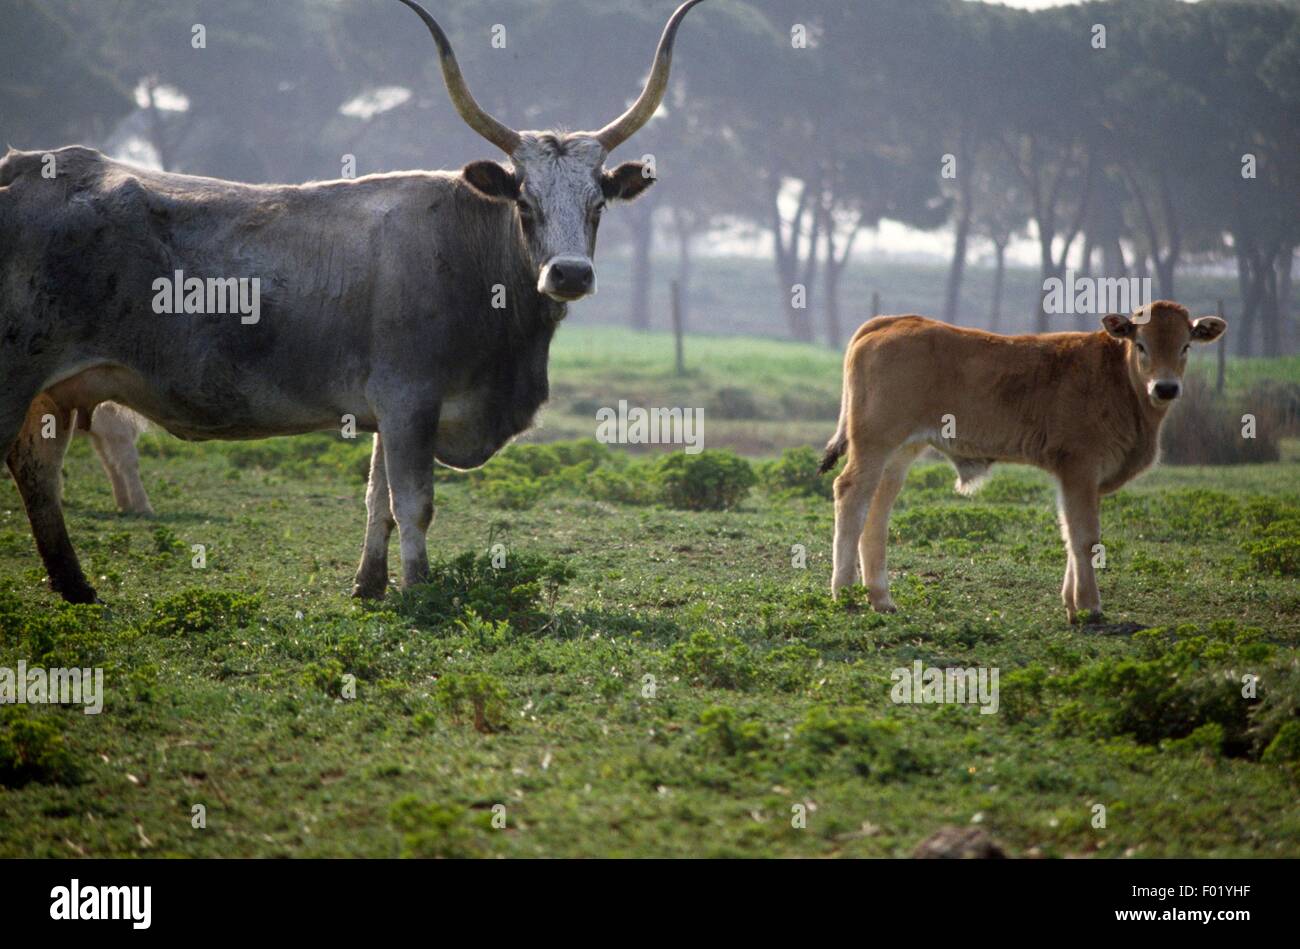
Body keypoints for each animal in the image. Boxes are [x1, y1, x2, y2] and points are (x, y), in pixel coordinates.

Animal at [0, 0, 708, 604]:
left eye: (597, 206)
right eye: (526, 204)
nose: (568, 274)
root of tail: (30, 164)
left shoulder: (391, 408)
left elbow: (377, 499)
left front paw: (368, 585)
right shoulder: (408, 398)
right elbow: (413, 502)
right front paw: (420, 592)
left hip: (56, 394)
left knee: (38, 471)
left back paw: (74, 585)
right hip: (18, 377)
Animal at [817, 301, 1227, 622]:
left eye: (1186, 346)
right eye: (1141, 345)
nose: (1166, 387)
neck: (1118, 381)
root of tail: (892, 321)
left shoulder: (1078, 478)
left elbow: (1070, 534)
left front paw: (1072, 604)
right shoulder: (1080, 468)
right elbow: (1085, 537)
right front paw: (1090, 606)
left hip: (901, 452)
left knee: (876, 511)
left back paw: (881, 598)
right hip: (874, 444)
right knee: (850, 494)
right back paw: (845, 593)